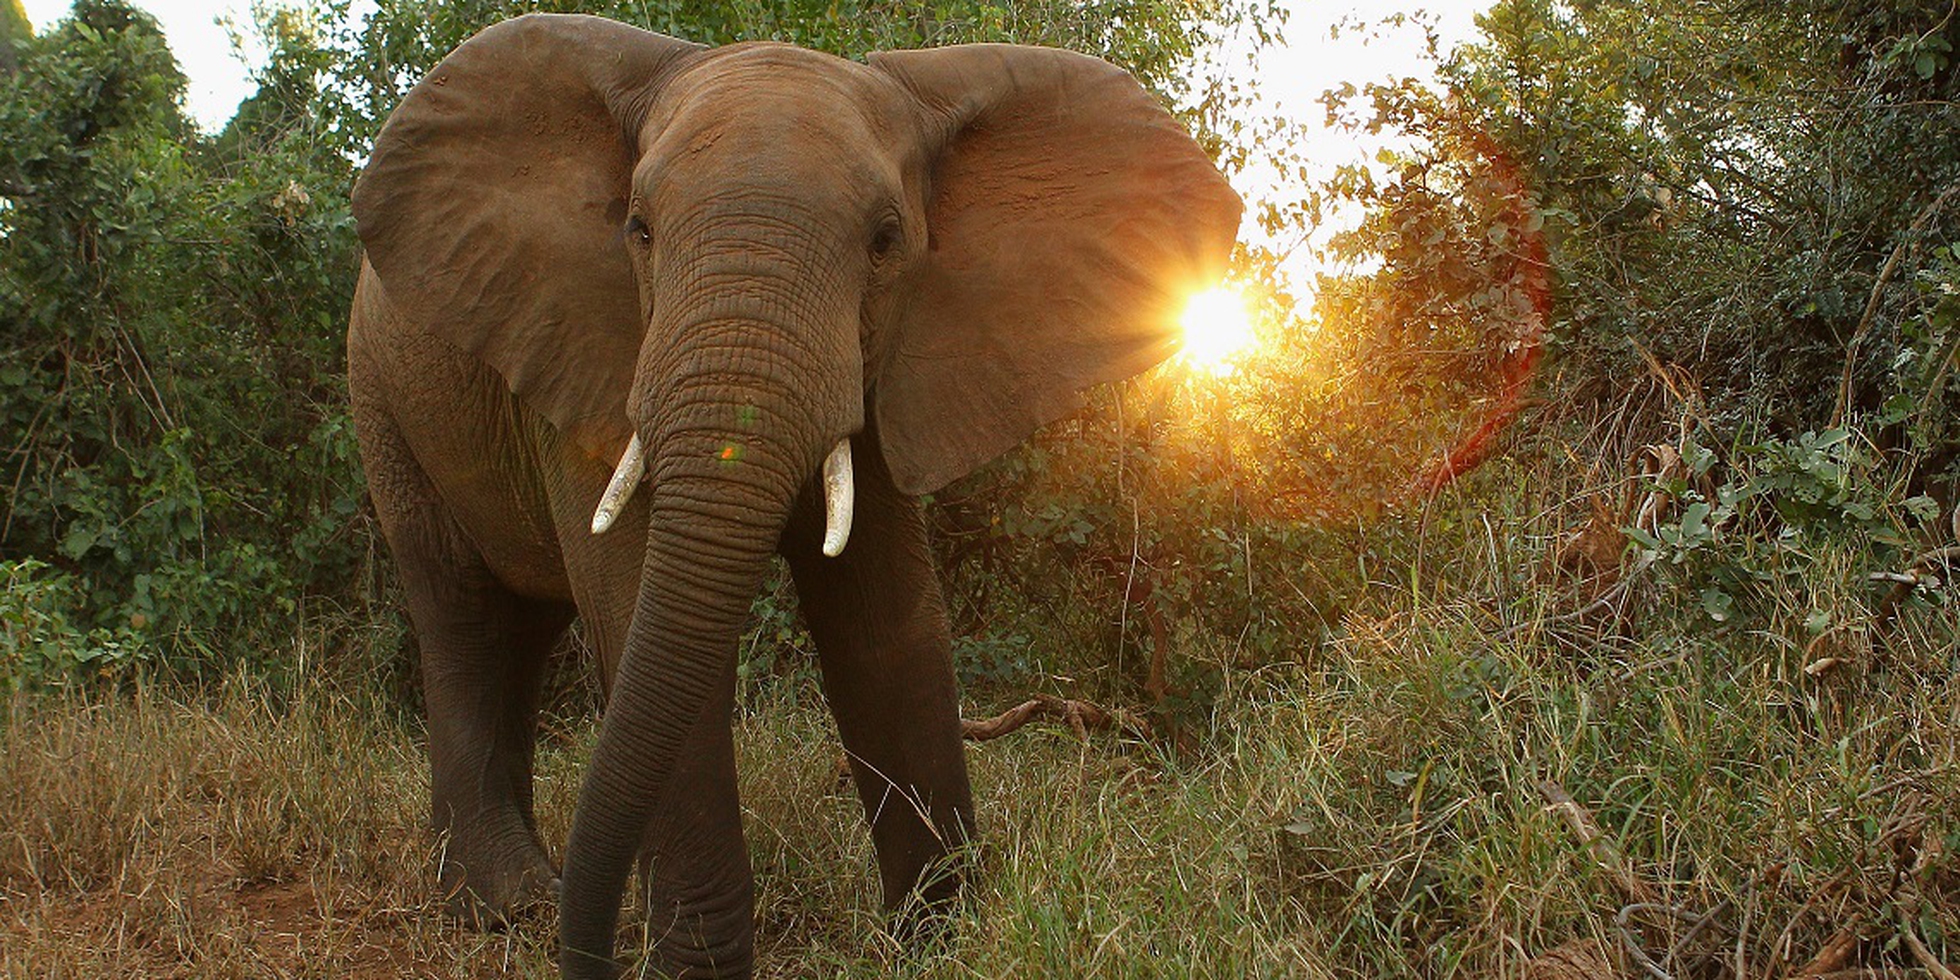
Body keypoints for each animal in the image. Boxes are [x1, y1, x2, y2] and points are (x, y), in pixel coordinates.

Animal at [345, 12, 1239, 979]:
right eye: (638, 230)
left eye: (886, 240)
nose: (597, 956)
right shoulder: (594, 343)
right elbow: (642, 613)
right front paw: (697, 967)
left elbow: (886, 620)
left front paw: (941, 939)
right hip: (383, 399)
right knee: (462, 615)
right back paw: (508, 902)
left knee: (520, 626)